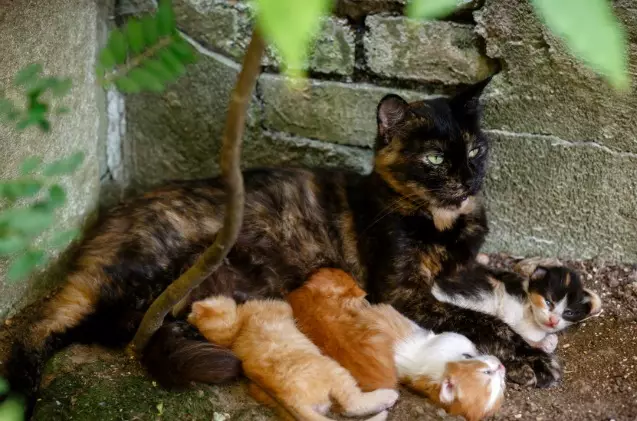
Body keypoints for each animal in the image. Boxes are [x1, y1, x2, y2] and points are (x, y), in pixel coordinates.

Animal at [188, 296, 398, 420]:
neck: (240, 328)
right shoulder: (277, 307)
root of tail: (291, 400)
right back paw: (388, 397)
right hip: (335, 370)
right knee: (352, 404)